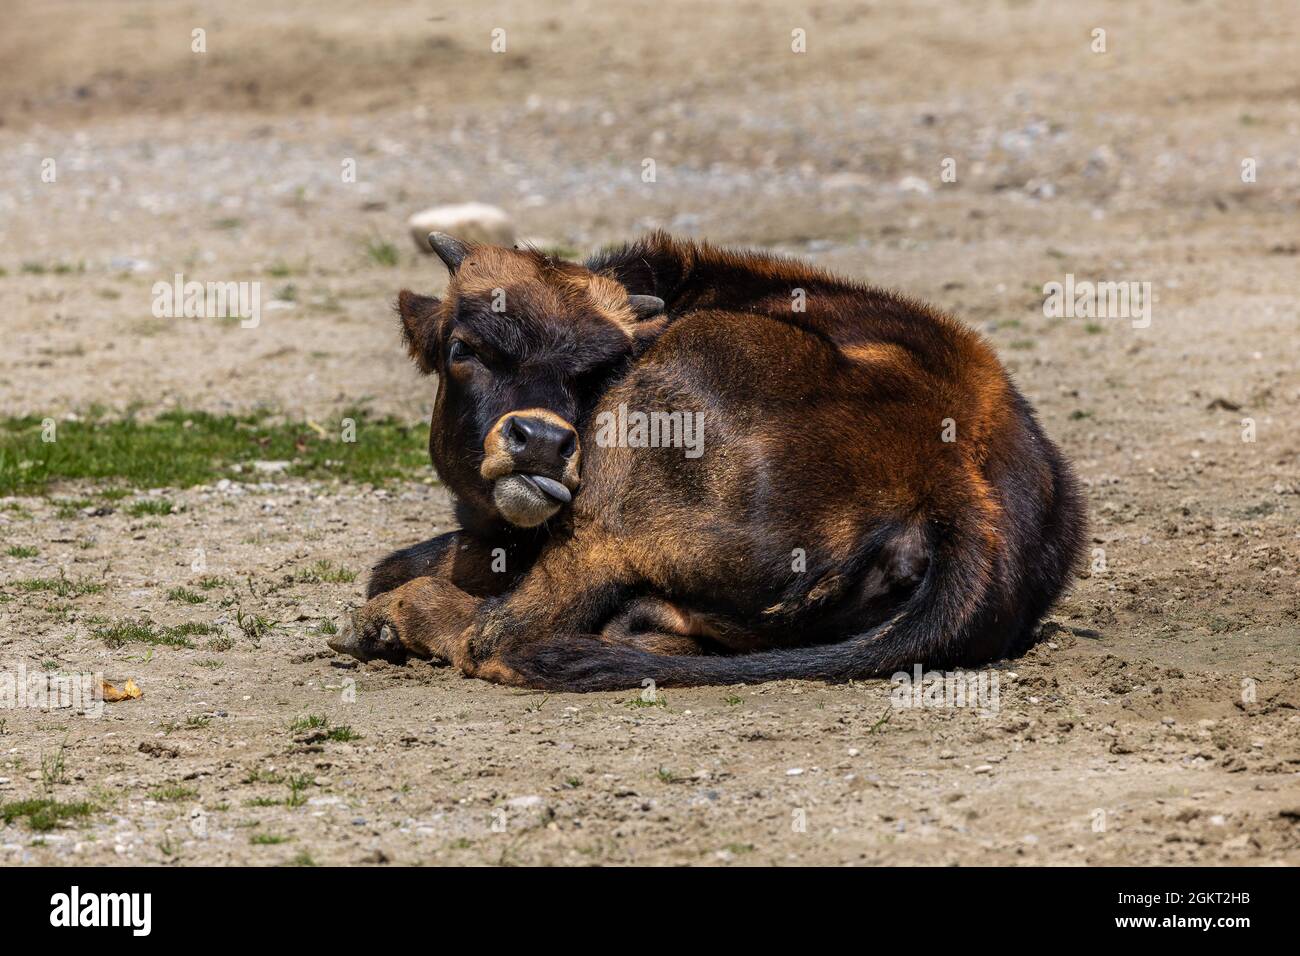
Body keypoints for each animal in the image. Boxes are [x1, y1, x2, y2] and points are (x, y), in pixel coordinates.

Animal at [327, 231, 1087, 691]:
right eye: (463, 347)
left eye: (601, 367)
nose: (539, 441)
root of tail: (953, 480)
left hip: (612, 513)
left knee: (498, 636)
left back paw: (384, 623)